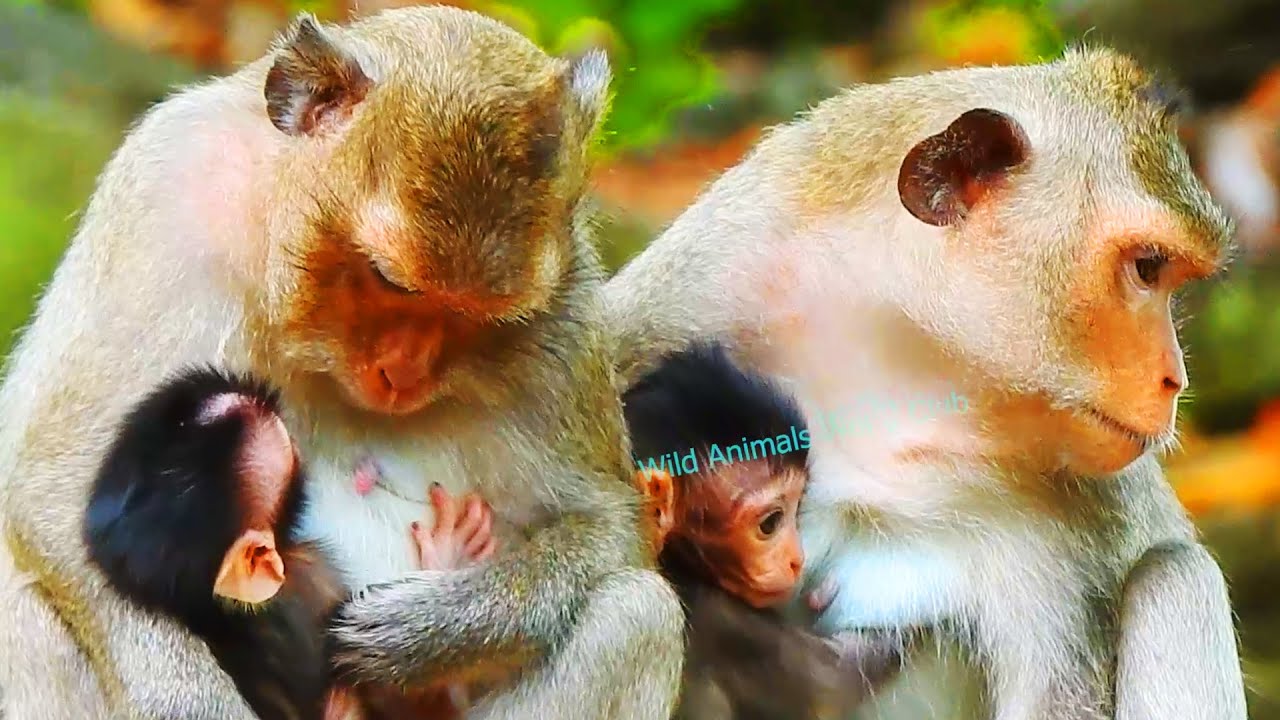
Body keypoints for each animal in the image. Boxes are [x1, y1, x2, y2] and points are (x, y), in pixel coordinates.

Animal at [623, 341, 902, 720]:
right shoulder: (727, 623)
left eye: (797, 508)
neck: (678, 564)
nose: (797, 560)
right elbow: (834, 686)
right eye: (770, 523)